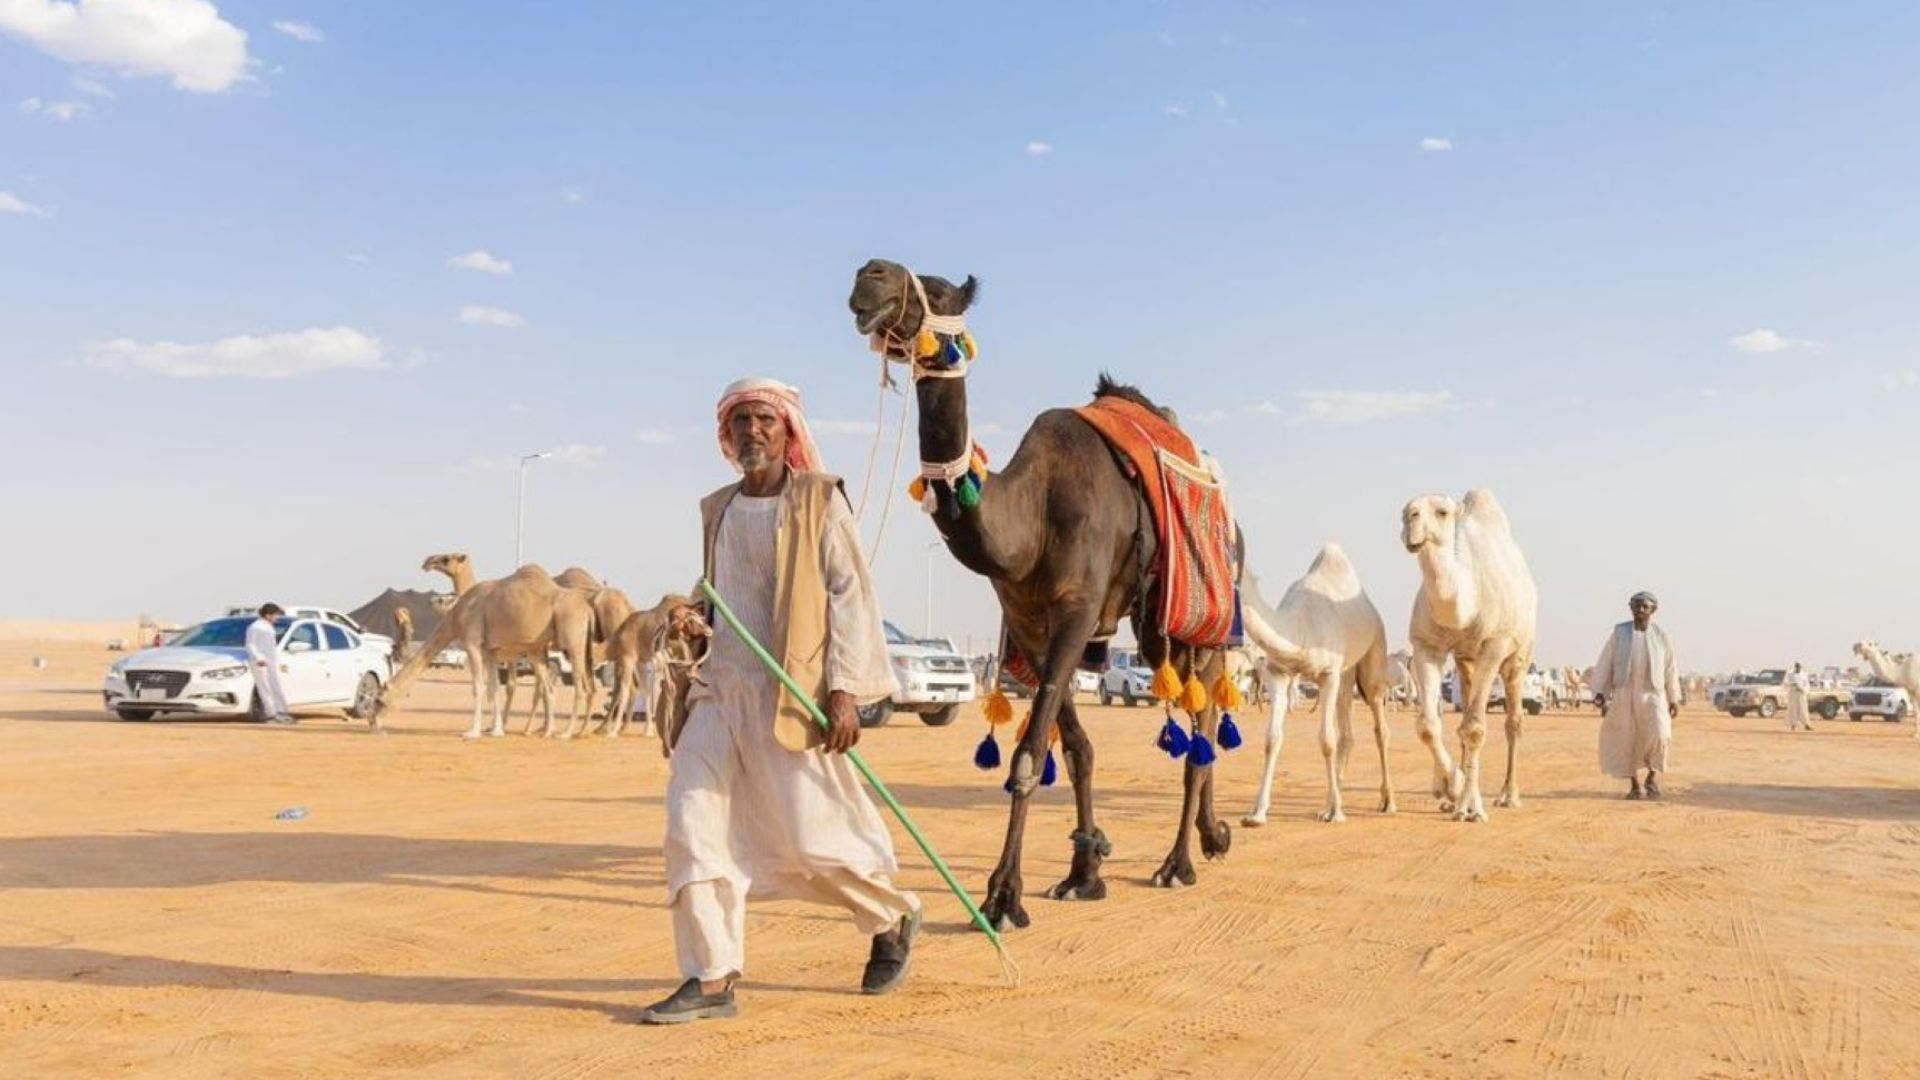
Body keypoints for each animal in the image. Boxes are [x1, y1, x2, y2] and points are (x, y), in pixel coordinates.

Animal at [378, 561, 598, 738]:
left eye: (379, 700)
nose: (375, 723)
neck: (456, 617)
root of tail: (587, 609)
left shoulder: (473, 644)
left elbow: (479, 687)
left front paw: (472, 732)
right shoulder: (490, 652)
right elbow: (494, 688)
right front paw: (496, 730)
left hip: (573, 641)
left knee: (579, 686)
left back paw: (567, 733)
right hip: (540, 650)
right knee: (551, 688)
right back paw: (550, 731)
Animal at [848, 259, 1233, 930]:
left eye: (936, 291)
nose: (870, 277)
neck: (1030, 511)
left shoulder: (1077, 609)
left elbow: (1028, 756)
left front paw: (1003, 897)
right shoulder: (1028, 619)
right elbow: (1076, 748)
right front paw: (1084, 871)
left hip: (1194, 624)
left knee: (1202, 721)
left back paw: (1178, 861)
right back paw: (1212, 837)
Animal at [1238, 546, 1394, 825]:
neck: (1299, 628)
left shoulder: (1328, 674)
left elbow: (1326, 740)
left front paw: (1338, 813)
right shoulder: (1280, 673)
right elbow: (1272, 739)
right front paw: (1256, 813)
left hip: (1374, 652)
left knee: (1380, 727)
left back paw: (1386, 802)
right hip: (1346, 673)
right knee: (1347, 733)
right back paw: (1327, 806)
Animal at [1401, 490, 1539, 822]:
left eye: (1441, 511)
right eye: (1404, 511)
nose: (1410, 519)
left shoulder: (1494, 643)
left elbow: (1476, 729)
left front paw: (1470, 808)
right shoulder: (1427, 645)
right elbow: (1428, 725)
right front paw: (1450, 787)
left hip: (1519, 655)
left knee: (1513, 720)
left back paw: (1508, 795)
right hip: (1466, 660)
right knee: (1464, 711)